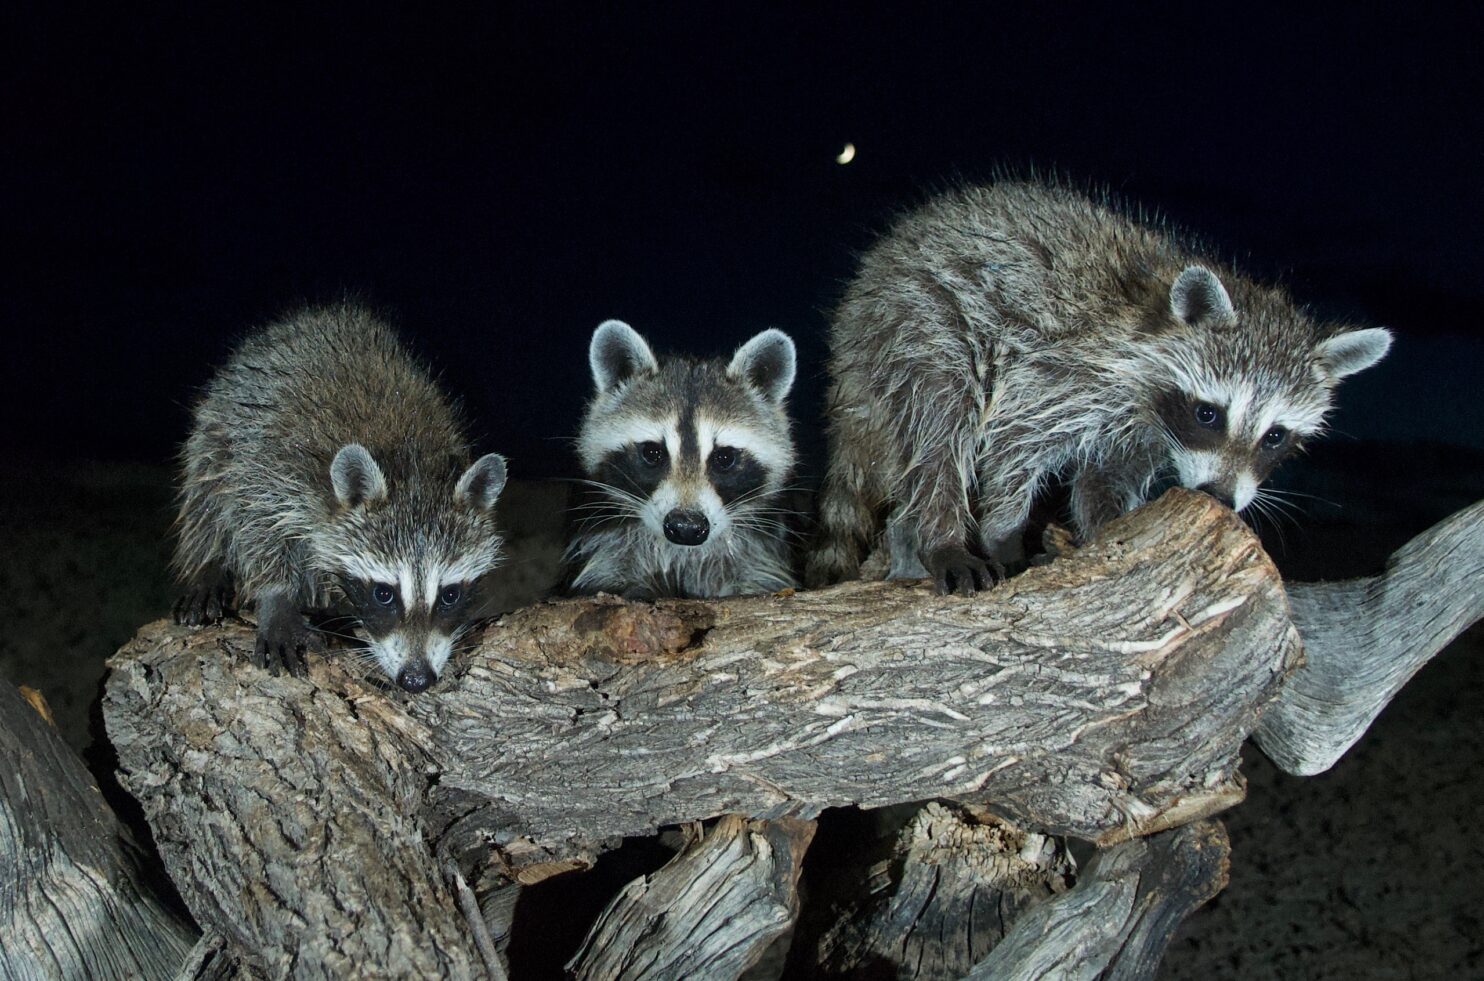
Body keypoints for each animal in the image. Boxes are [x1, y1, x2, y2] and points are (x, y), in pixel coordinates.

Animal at [172, 303, 509, 692]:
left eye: (450, 595)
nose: (416, 679)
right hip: (220, 420)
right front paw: (276, 596)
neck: (412, 465)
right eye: (383, 593)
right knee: (205, 489)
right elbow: (255, 519)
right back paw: (207, 565)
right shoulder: (277, 463)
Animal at [807, 180, 1392, 594]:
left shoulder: (1141, 435)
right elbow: (1013, 442)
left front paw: (1110, 531)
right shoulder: (1065, 370)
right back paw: (941, 533)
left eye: (1275, 436)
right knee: (940, 422)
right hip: (920, 320)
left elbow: (1103, 483)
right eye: (1209, 414)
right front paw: (1003, 533)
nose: (1219, 497)